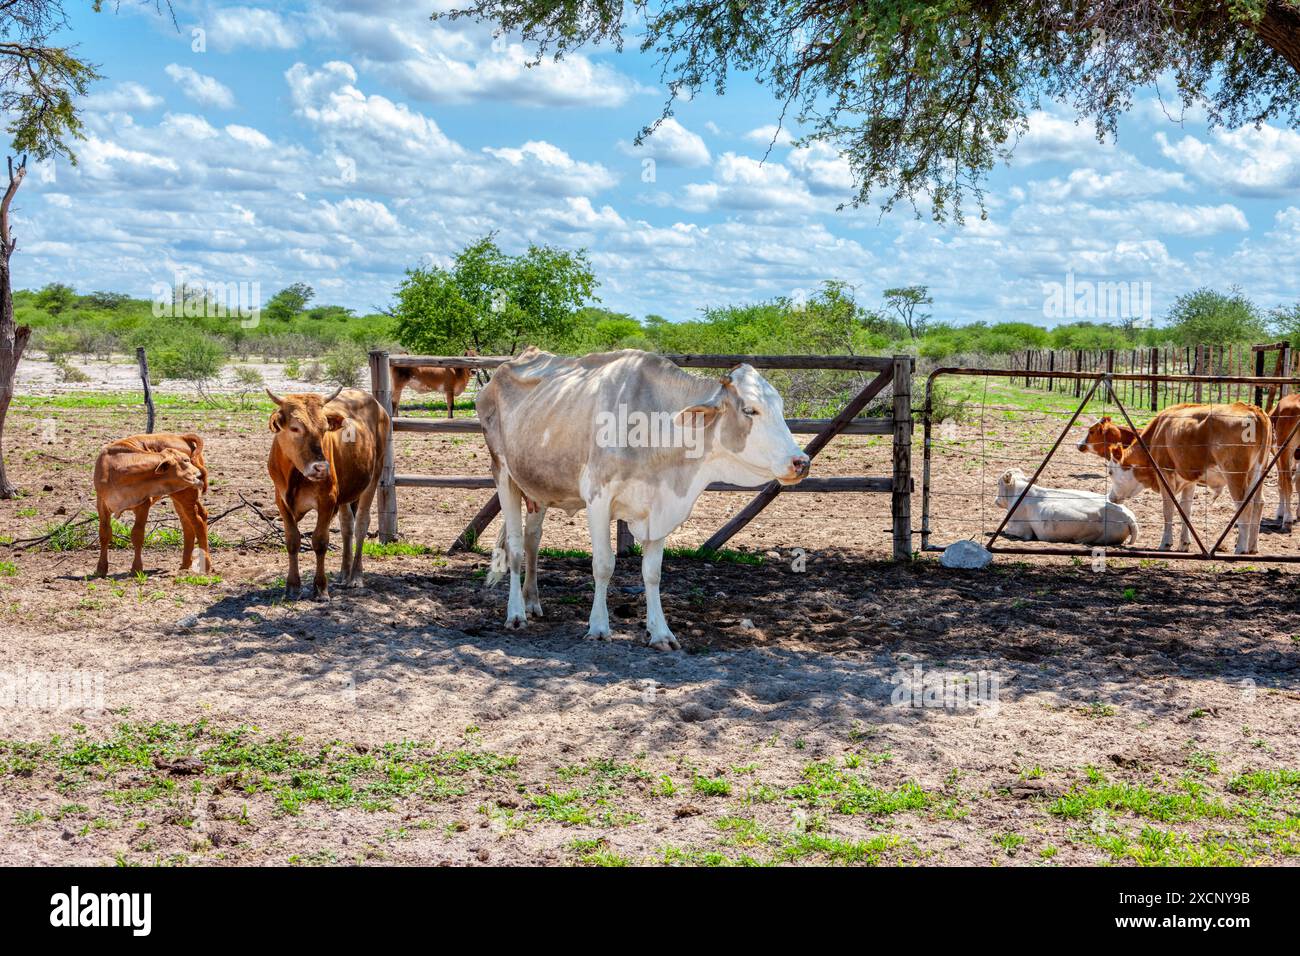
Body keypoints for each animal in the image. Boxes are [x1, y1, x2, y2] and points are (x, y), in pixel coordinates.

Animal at [93, 433, 211, 577]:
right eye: (185, 460)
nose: (200, 475)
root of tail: (181, 437)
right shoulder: (102, 504)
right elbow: (104, 534)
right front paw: (101, 569)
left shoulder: (143, 504)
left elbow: (137, 535)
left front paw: (136, 568)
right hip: (178, 495)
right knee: (187, 524)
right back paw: (185, 564)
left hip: (187, 494)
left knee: (198, 521)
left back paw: (206, 564)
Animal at [265, 386, 390, 599]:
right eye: (295, 428)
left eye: (324, 429)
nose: (321, 468)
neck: (295, 475)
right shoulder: (281, 502)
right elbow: (292, 540)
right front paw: (292, 586)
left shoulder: (327, 500)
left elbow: (320, 541)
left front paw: (321, 588)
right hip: (346, 491)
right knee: (347, 525)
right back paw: (344, 573)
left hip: (374, 475)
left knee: (361, 524)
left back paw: (355, 576)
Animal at [477, 347, 810, 651]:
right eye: (750, 410)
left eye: (780, 407)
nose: (801, 461)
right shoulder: (597, 497)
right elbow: (603, 564)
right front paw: (599, 627)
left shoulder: (658, 507)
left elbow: (652, 572)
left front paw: (660, 632)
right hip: (503, 473)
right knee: (516, 547)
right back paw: (516, 613)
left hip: (538, 490)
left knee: (533, 539)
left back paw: (532, 602)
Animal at [1101, 402, 1272, 553]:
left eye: (1110, 472)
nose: (1111, 497)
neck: (1157, 433)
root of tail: (1252, 409)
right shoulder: (1190, 479)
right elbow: (1185, 509)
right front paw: (1184, 543)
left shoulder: (1165, 473)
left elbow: (1168, 508)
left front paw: (1166, 543)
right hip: (1259, 473)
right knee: (1259, 503)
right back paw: (1252, 547)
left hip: (1235, 475)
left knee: (1245, 505)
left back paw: (1241, 548)